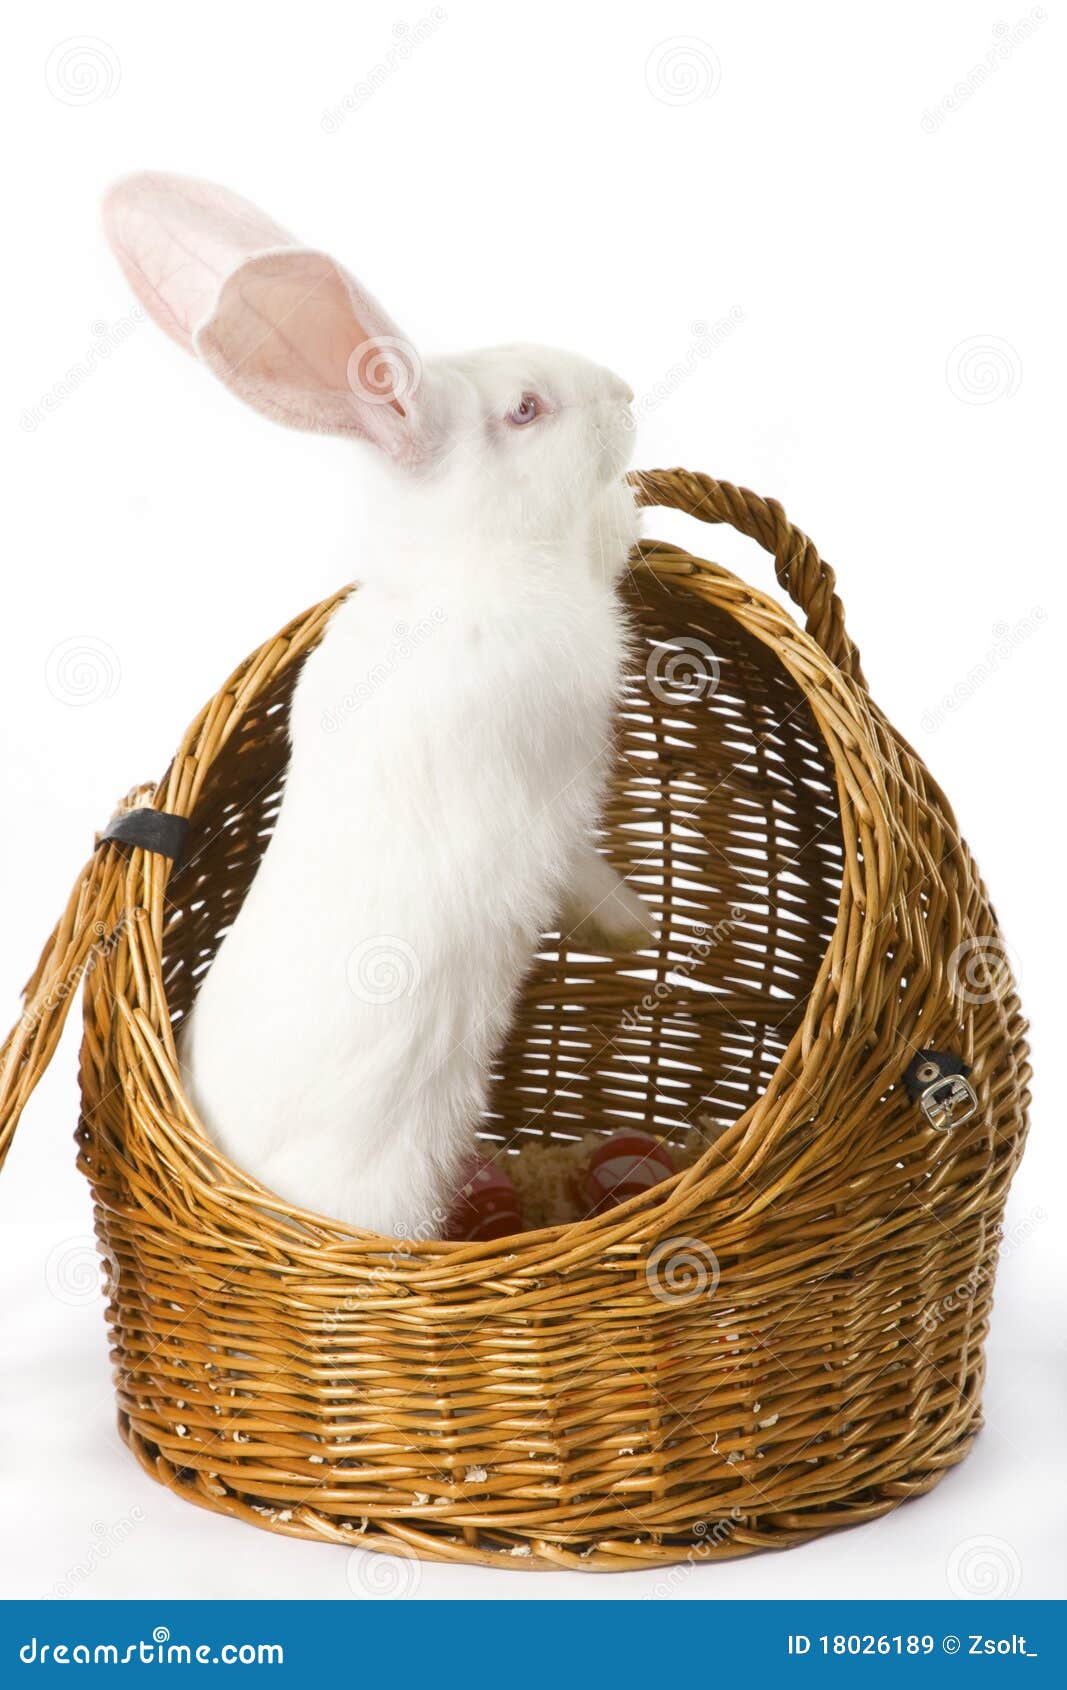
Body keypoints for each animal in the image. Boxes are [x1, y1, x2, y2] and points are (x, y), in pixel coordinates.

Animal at [103, 171, 656, 1239]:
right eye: (526, 409)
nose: (626, 393)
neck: (457, 576)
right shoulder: (555, 789)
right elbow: (586, 871)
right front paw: (636, 928)